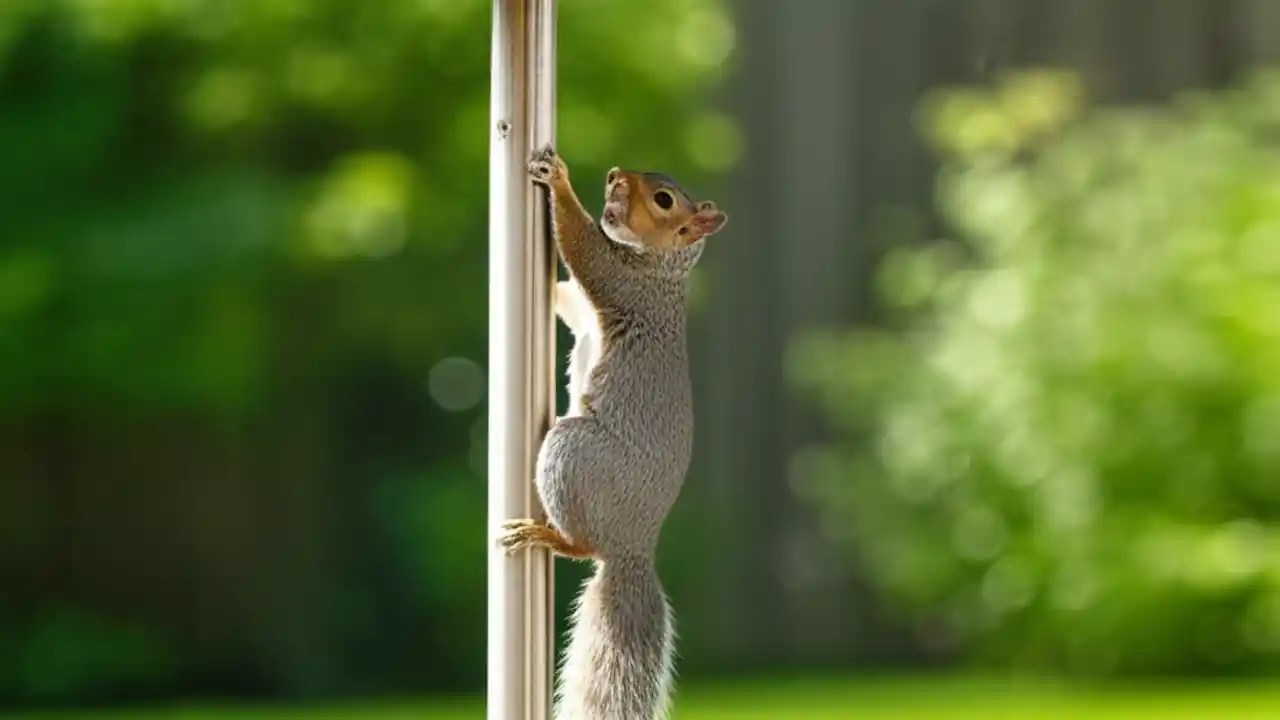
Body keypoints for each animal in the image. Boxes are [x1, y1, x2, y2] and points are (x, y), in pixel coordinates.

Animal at [499, 145, 727, 720]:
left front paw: (557, 180)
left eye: (663, 199)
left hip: (571, 451)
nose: (613, 176)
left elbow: (581, 246)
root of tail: (634, 546)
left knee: (581, 545)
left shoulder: (620, 281)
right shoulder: (584, 301)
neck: (660, 267)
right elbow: (564, 293)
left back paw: (546, 535)